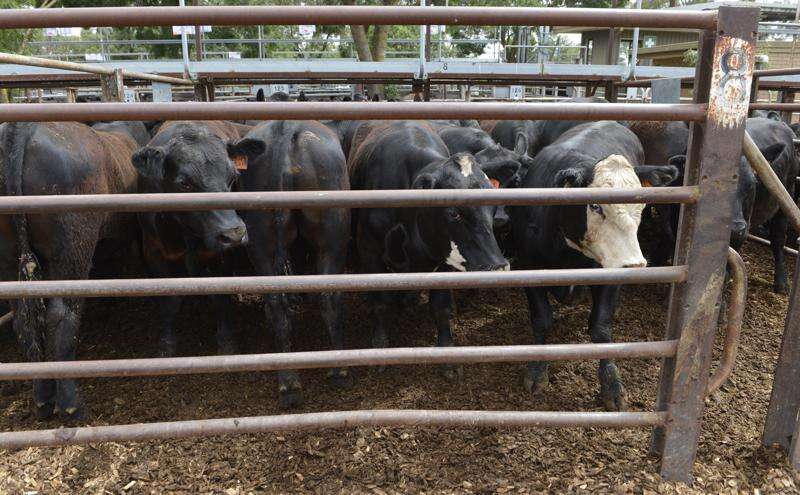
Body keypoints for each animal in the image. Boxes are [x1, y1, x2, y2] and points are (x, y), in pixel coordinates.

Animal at [0, 121, 142, 420]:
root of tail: (21, 127)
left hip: (7, 252)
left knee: (24, 320)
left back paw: (42, 400)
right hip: (73, 244)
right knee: (62, 315)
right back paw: (71, 406)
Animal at [132, 121, 265, 357]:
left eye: (233, 177)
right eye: (184, 183)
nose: (234, 233)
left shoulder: (225, 254)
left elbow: (221, 298)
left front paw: (226, 340)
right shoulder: (153, 251)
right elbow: (169, 302)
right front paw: (167, 344)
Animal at [349, 121, 509, 381]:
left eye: (492, 206)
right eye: (453, 212)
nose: (498, 266)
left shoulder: (443, 259)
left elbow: (441, 308)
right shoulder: (369, 250)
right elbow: (380, 302)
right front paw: (380, 344)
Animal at [509, 121, 678, 411]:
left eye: (641, 202)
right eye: (595, 205)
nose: (634, 263)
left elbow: (600, 327)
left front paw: (612, 386)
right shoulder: (527, 266)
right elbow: (542, 319)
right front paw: (537, 371)